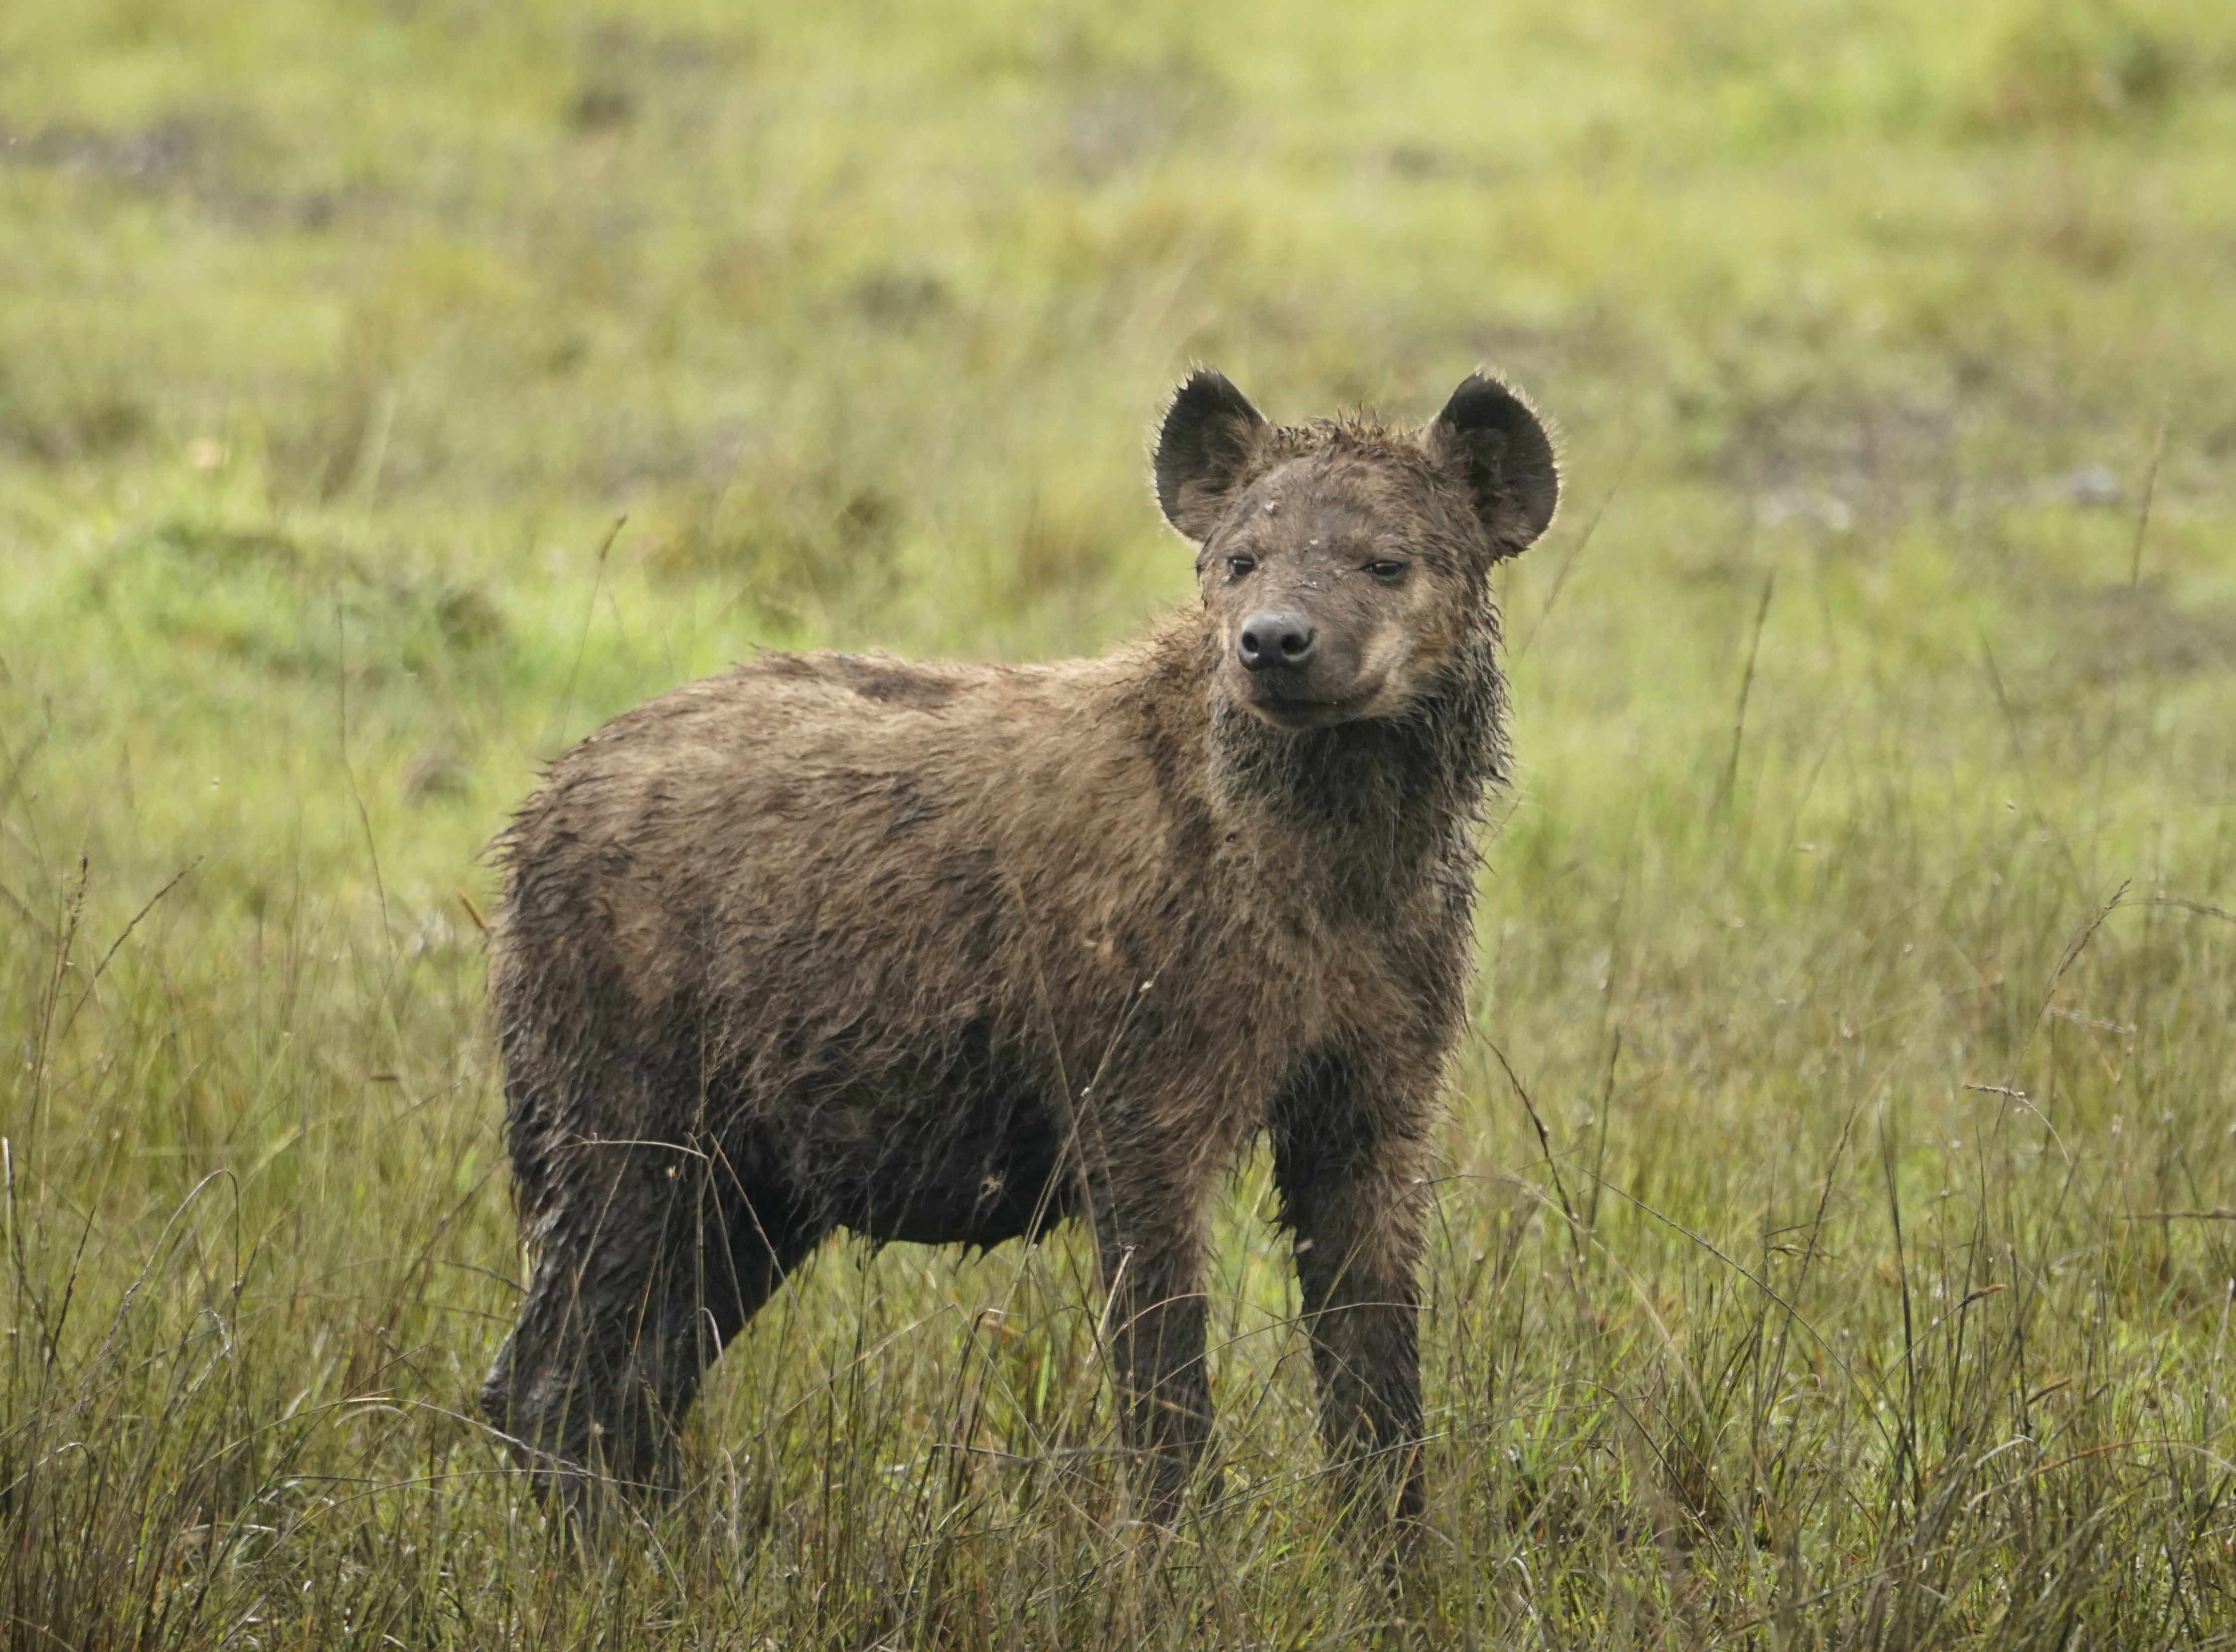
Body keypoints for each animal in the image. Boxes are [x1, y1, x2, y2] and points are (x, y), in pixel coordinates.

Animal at [479, 368, 1559, 1529]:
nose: (1272, 641)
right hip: (626, 1100)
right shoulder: (1136, 1093)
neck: (1329, 858)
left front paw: (1392, 1561)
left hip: (758, 1173)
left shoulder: (1376, 1086)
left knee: (644, 1369)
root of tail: (543, 802)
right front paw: (1184, 1555)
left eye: (1385, 561)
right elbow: (1164, 1384)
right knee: (558, 1366)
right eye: (1238, 561)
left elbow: (1377, 1379)